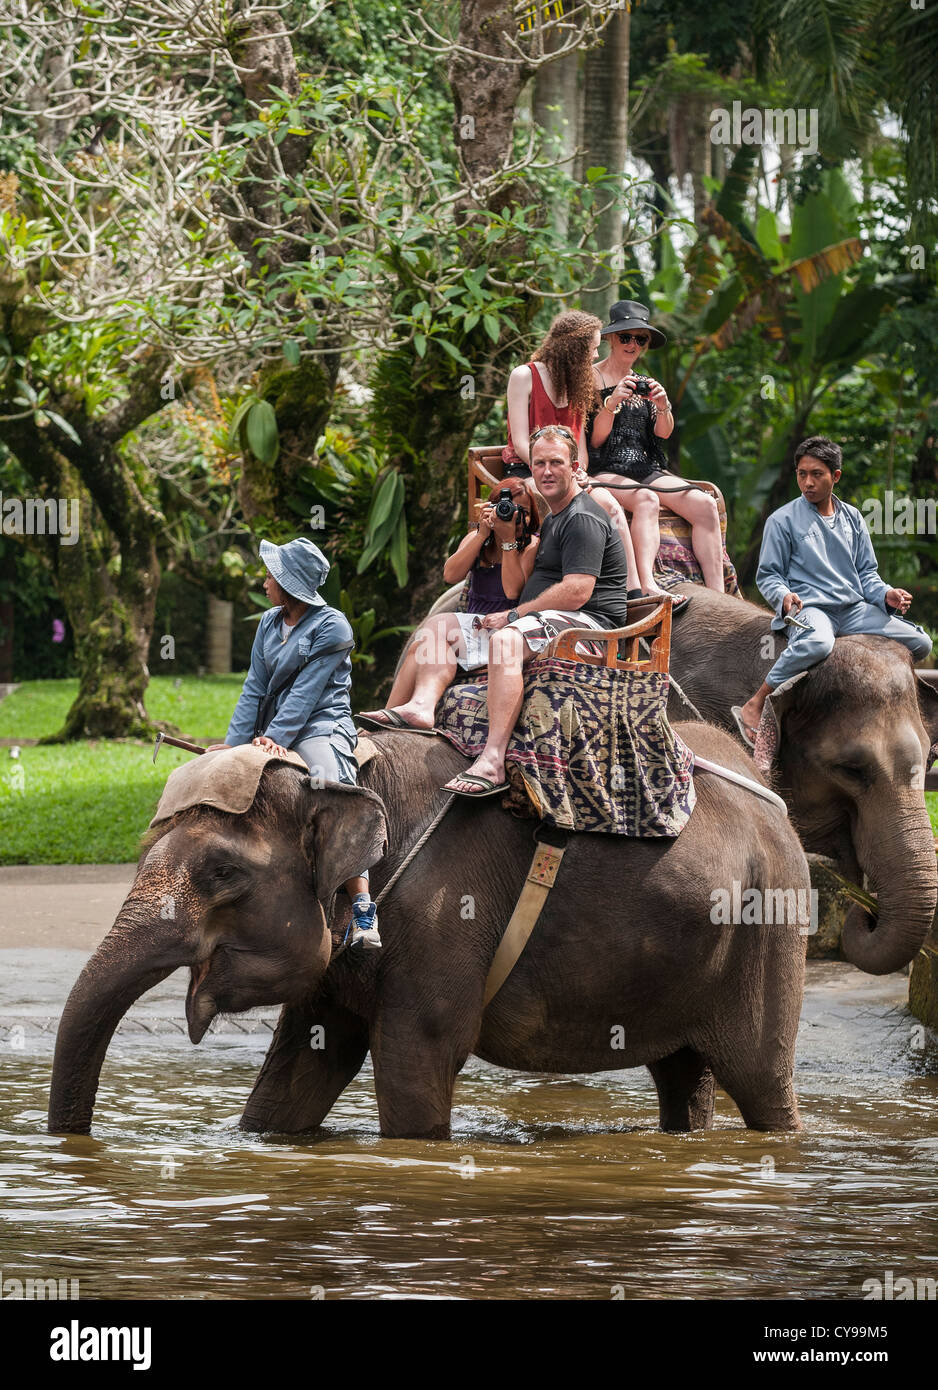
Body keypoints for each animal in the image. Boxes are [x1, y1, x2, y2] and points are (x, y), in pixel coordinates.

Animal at [51, 722, 811, 1134]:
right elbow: (299, 1074)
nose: (78, 1146)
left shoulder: (441, 911)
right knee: (684, 1075)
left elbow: (417, 1060)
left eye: (221, 872)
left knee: (760, 1081)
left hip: (769, 925)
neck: (348, 776)